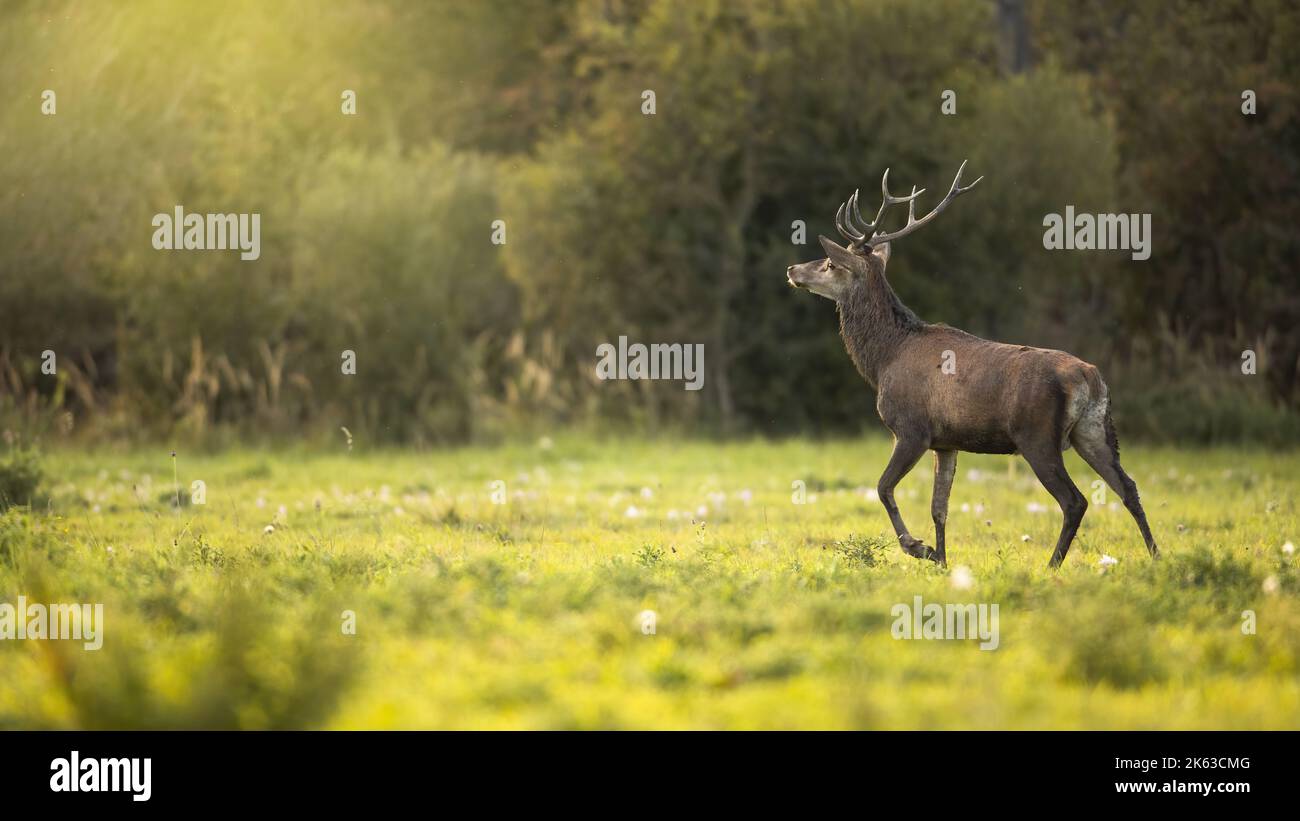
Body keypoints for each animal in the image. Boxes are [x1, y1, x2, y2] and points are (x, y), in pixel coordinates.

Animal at [786, 162, 1158, 568]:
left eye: (830, 263)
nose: (792, 269)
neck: (883, 360)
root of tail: (1090, 379)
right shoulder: (947, 442)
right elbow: (939, 507)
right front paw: (942, 560)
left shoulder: (911, 428)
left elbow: (883, 487)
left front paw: (917, 547)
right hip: (1093, 430)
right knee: (1128, 487)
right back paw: (1157, 556)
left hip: (1037, 435)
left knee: (1074, 500)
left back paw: (1052, 566)